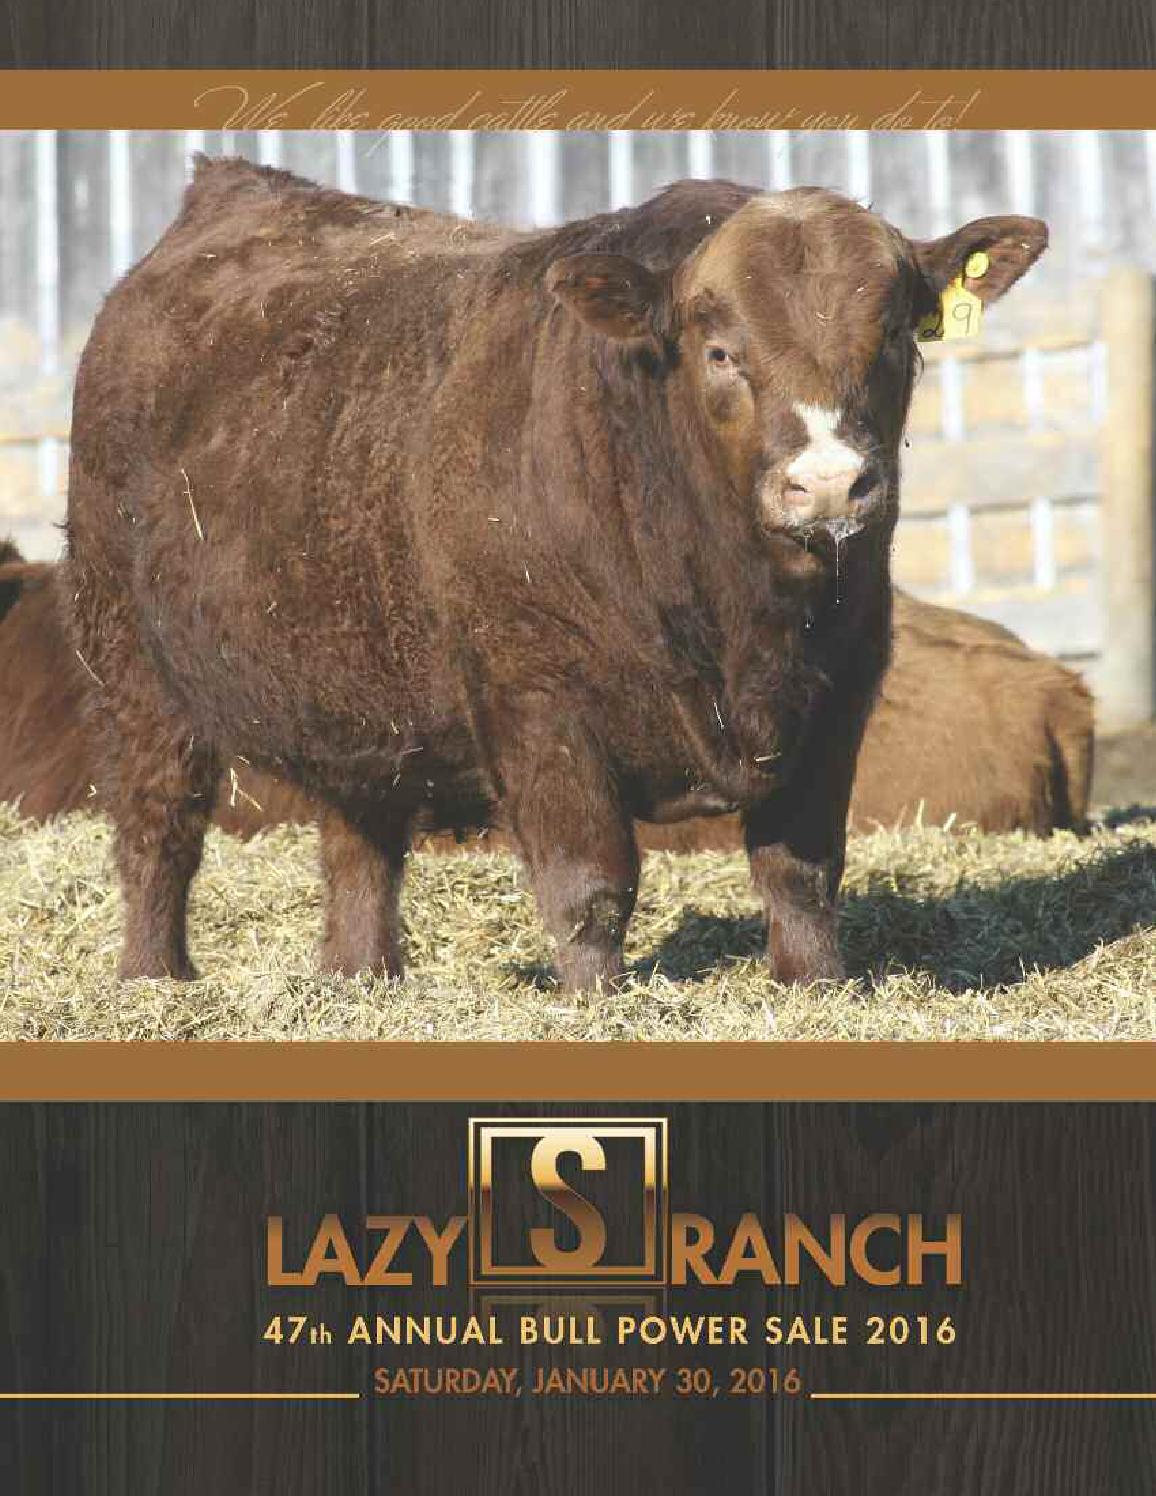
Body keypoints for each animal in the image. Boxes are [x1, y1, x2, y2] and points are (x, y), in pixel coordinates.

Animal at [63, 158, 1047, 988]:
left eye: (894, 336)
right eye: (720, 351)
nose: (833, 481)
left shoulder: (841, 690)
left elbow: (801, 872)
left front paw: (817, 987)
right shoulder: (535, 694)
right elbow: (589, 884)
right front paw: (597, 1002)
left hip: (355, 693)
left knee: (359, 840)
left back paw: (362, 977)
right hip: (134, 666)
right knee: (158, 826)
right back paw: (154, 978)